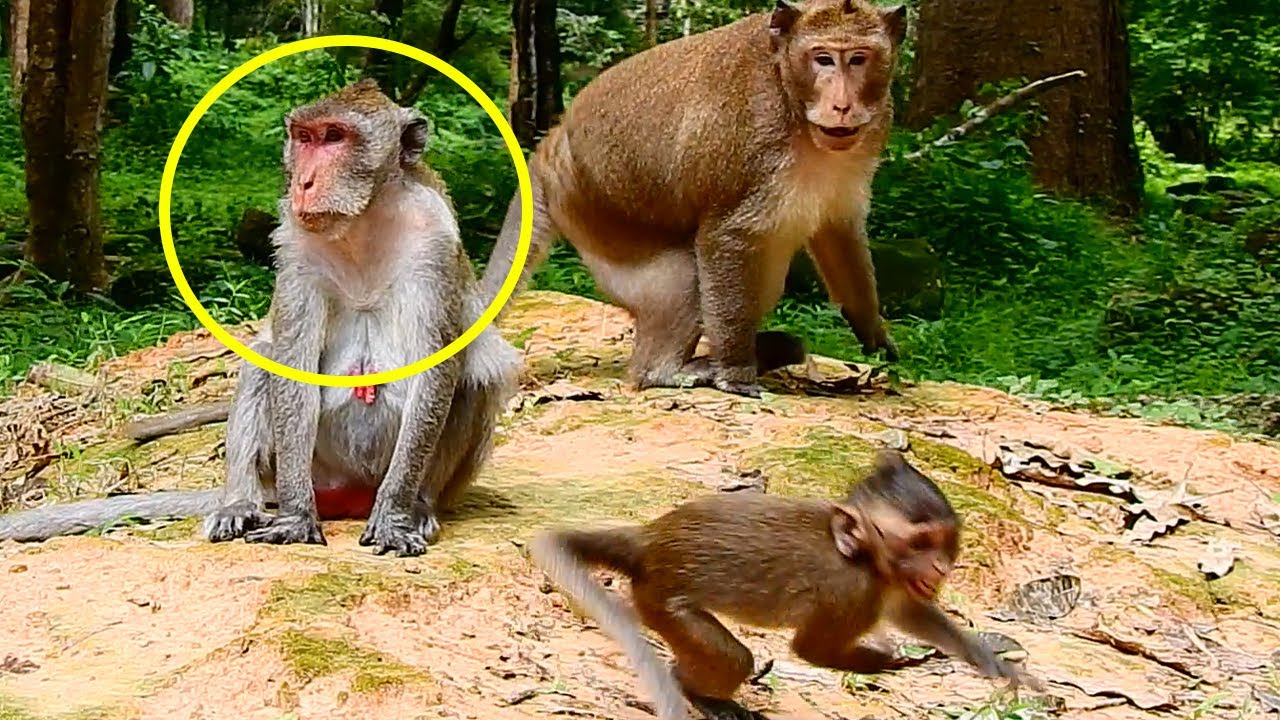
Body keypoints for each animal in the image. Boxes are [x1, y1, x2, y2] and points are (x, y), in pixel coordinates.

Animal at [0, 80, 520, 556]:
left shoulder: (433, 242)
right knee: (264, 357)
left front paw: (395, 517)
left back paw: (420, 507)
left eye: (336, 137)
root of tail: (349, 490)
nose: (303, 183)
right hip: (313, 465)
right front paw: (295, 517)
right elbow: (289, 360)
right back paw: (242, 503)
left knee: (477, 372)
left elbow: (440, 367)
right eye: (304, 137)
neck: (362, 222)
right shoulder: (295, 245)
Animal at [478, 0, 905, 400]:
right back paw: (671, 371)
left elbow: (838, 227)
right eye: (823, 59)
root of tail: (551, 143)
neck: (790, 96)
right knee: (685, 274)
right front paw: (735, 373)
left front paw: (873, 331)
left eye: (858, 58)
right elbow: (727, 237)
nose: (842, 105)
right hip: (597, 208)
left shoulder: (875, 128)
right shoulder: (754, 139)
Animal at [528, 451, 1040, 720]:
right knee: (732, 657)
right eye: (919, 542)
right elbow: (810, 650)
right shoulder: (850, 592)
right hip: (660, 599)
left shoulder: (887, 587)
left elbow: (910, 613)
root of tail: (650, 538)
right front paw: (894, 663)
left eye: (944, 541)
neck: (862, 558)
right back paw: (696, 690)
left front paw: (991, 662)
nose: (939, 568)